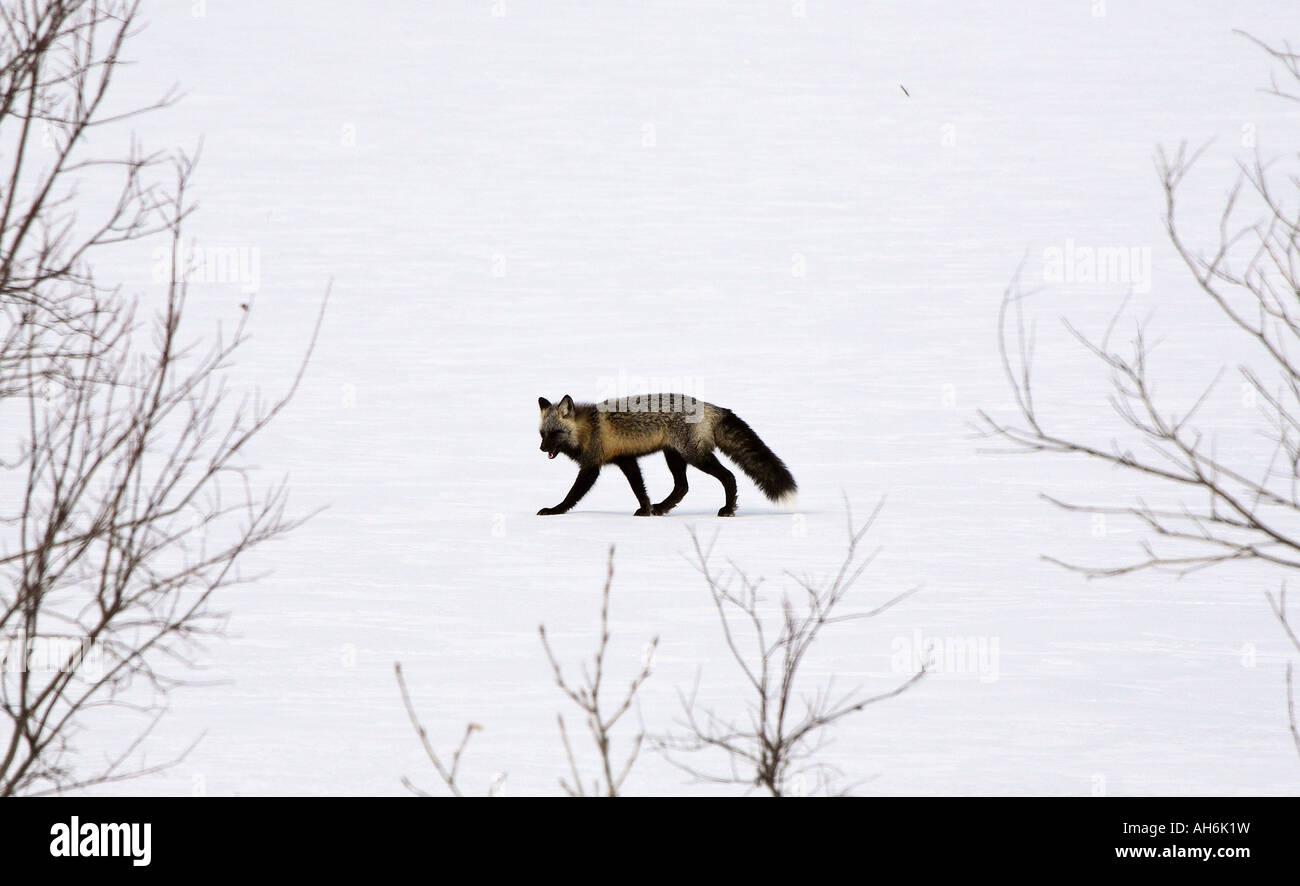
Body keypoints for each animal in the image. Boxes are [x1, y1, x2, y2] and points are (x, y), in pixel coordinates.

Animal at [536, 393, 797, 517]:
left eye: (555, 433)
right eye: (542, 434)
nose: (541, 449)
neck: (588, 428)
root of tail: (711, 406)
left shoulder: (592, 466)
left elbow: (572, 495)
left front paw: (555, 510)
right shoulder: (626, 459)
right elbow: (639, 489)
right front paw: (646, 510)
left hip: (694, 456)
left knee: (728, 476)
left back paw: (728, 509)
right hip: (674, 456)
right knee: (682, 487)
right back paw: (662, 508)